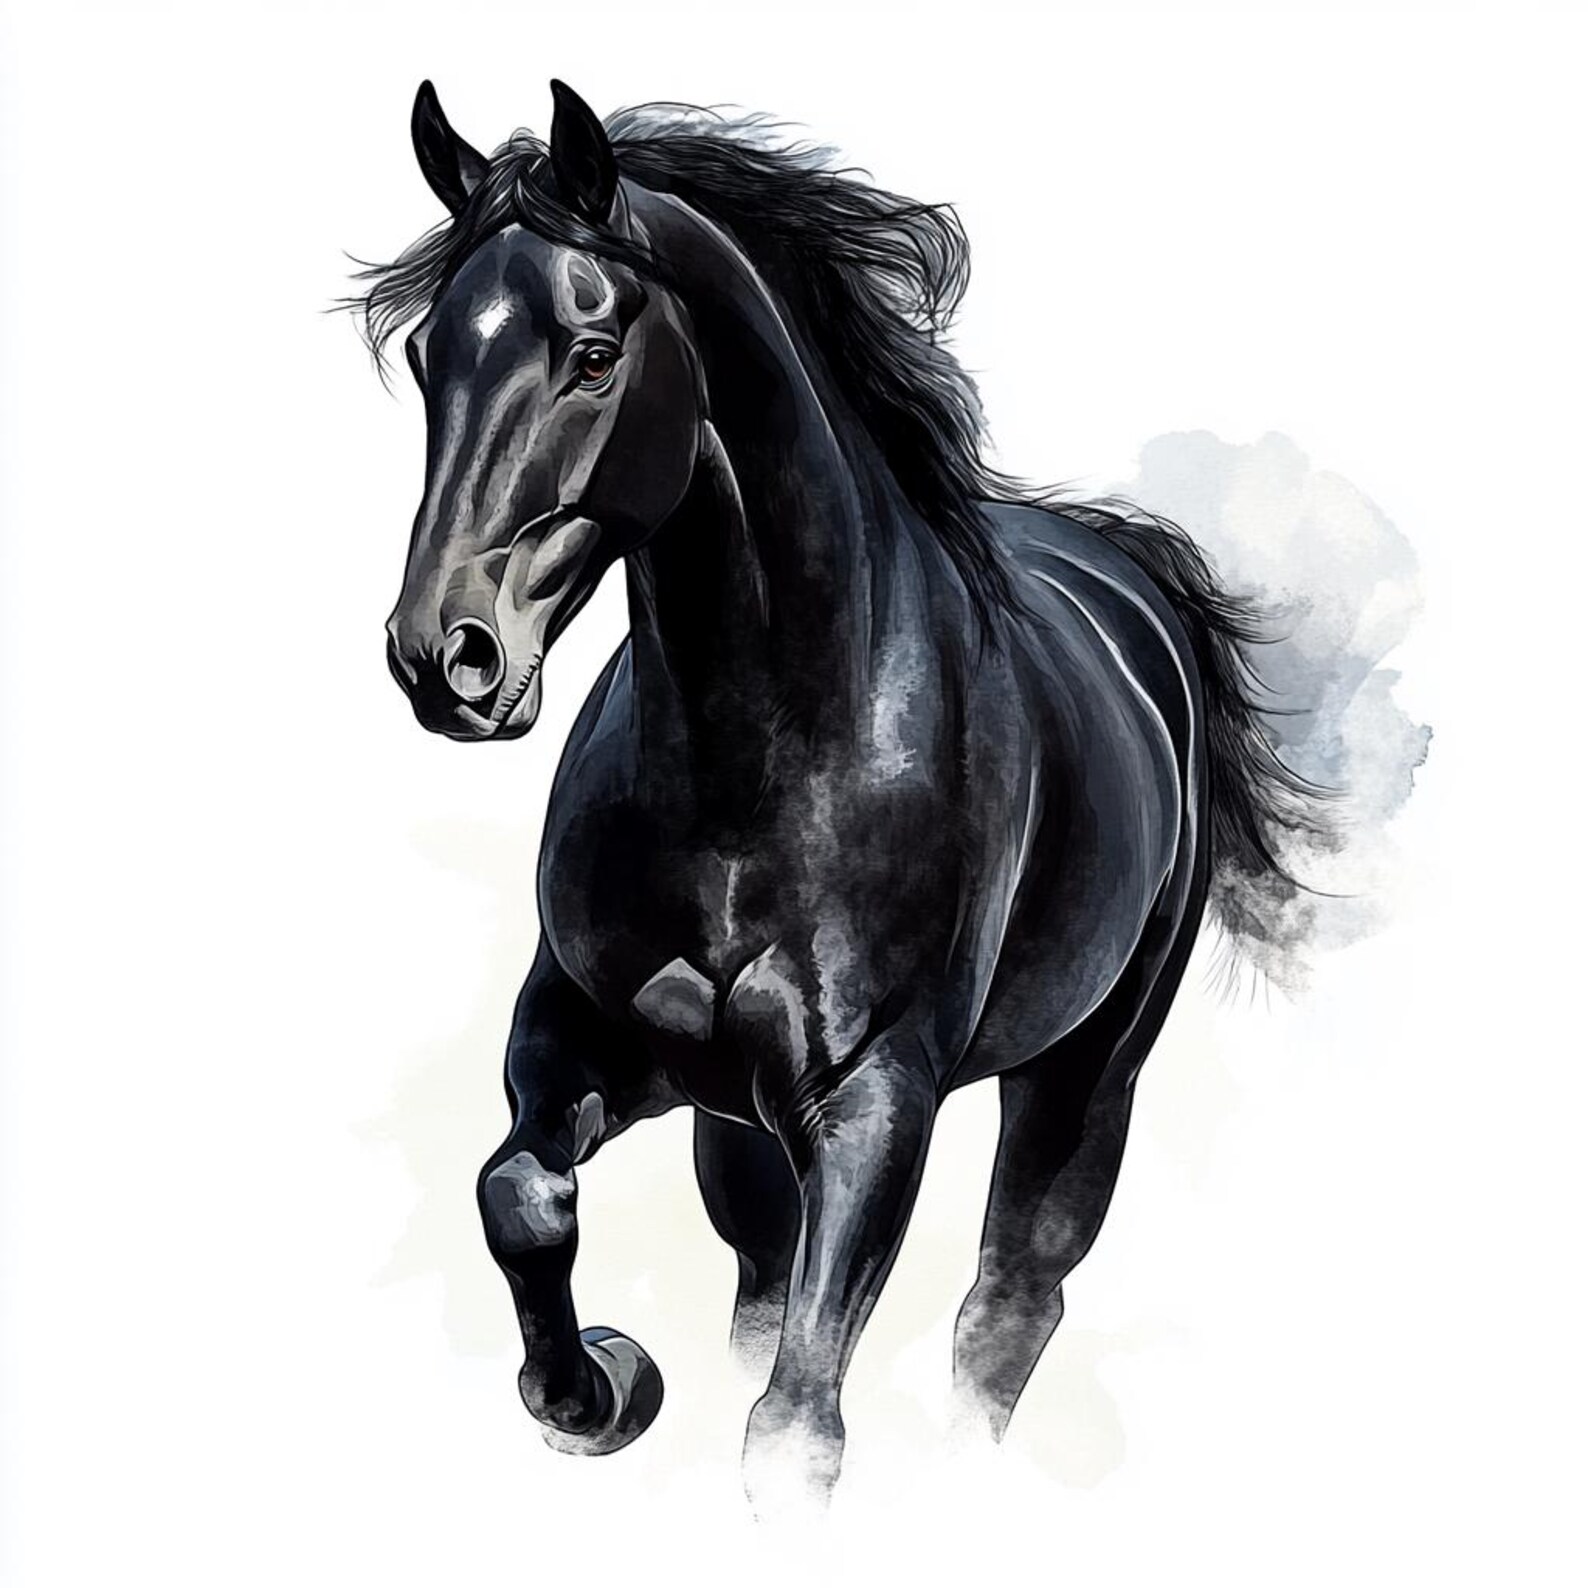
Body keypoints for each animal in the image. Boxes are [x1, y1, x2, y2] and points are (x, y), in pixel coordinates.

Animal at [351, 79, 1323, 1510]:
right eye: (429, 356)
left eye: (592, 353)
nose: (446, 657)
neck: (763, 766)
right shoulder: (592, 1039)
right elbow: (521, 1197)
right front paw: (595, 1388)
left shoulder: (874, 1104)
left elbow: (796, 1427)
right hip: (740, 1128)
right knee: (767, 1285)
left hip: (1087, 1072)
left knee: (1007, 1304)